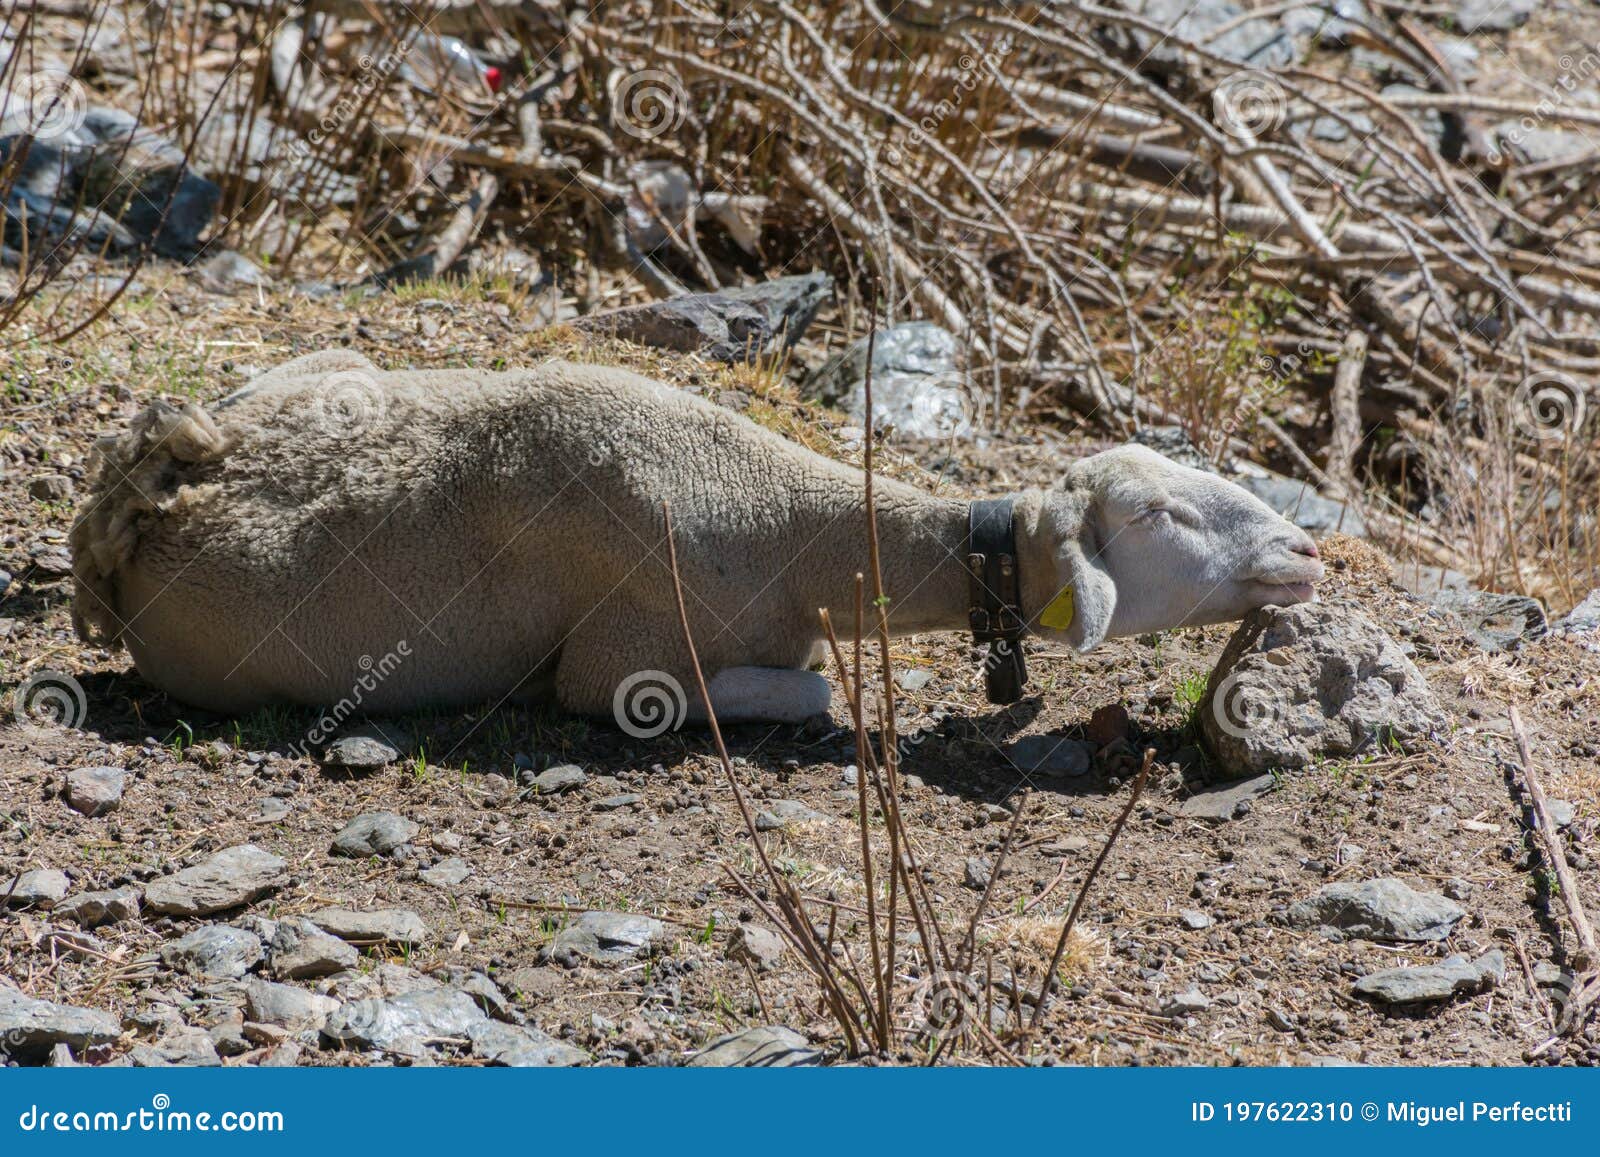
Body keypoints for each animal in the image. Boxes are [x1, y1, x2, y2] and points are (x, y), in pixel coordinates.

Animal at [70, 350, 1324, 728]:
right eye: (1156, 515)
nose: (1307, 552)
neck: (784, 524)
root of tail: (152, 501)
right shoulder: (618, 668)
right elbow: (816, 689)